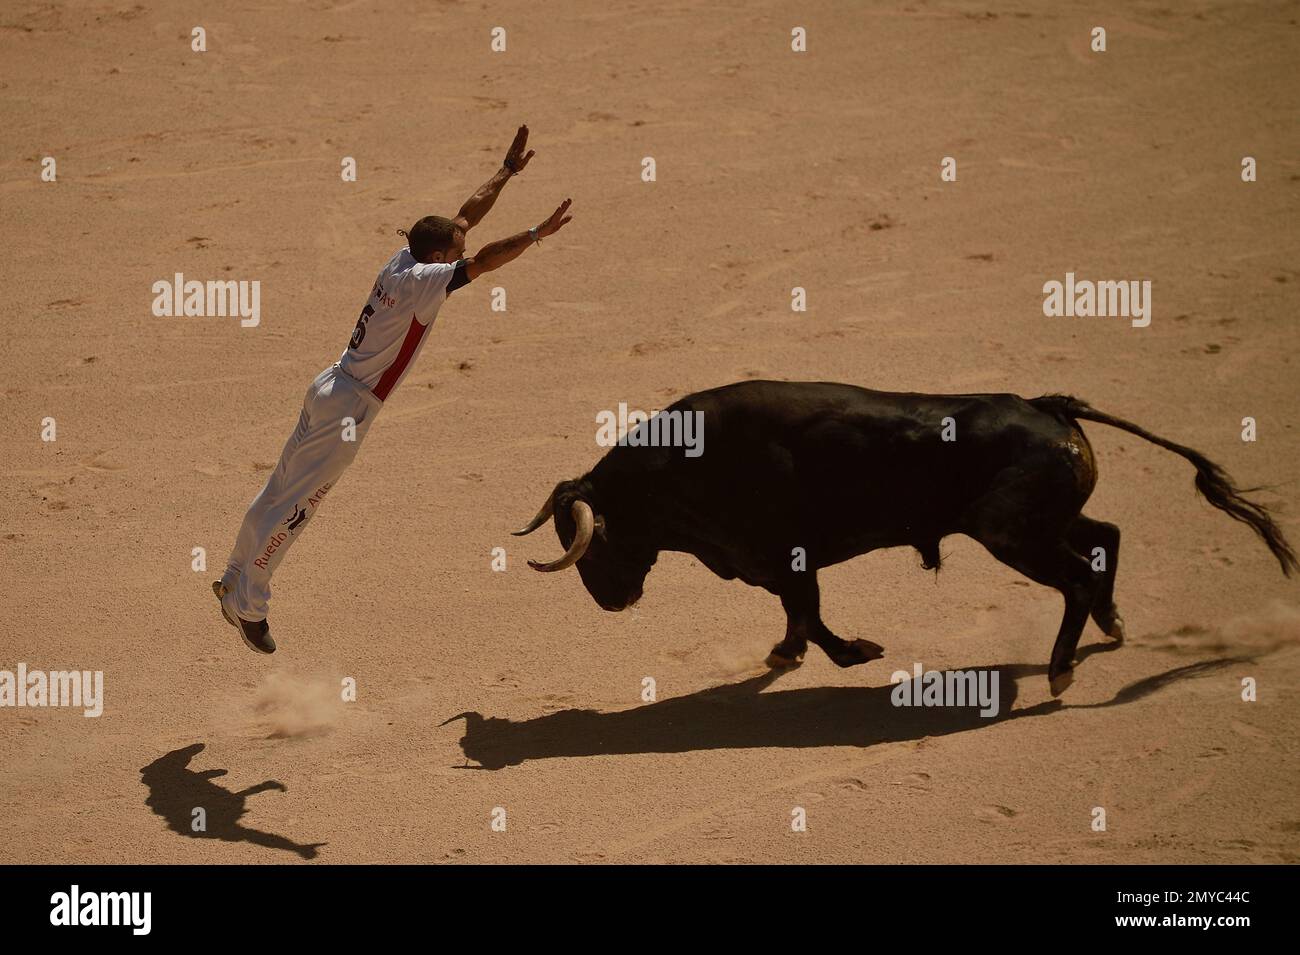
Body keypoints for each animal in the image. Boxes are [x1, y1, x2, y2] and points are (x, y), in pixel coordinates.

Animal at [514, 380, 1296, 695]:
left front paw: (855, 653)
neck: (684, 462)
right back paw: (1114, 624)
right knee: (1105, 535)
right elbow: (800, 615)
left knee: (1076, 575)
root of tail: (1047, 405)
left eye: (594, 544)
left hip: (1013, 535)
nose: (609, 603)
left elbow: (812, 613)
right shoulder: (777, 566)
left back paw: (1061, 669)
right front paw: (787, 654)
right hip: (1041, 523)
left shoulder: (786, 558)